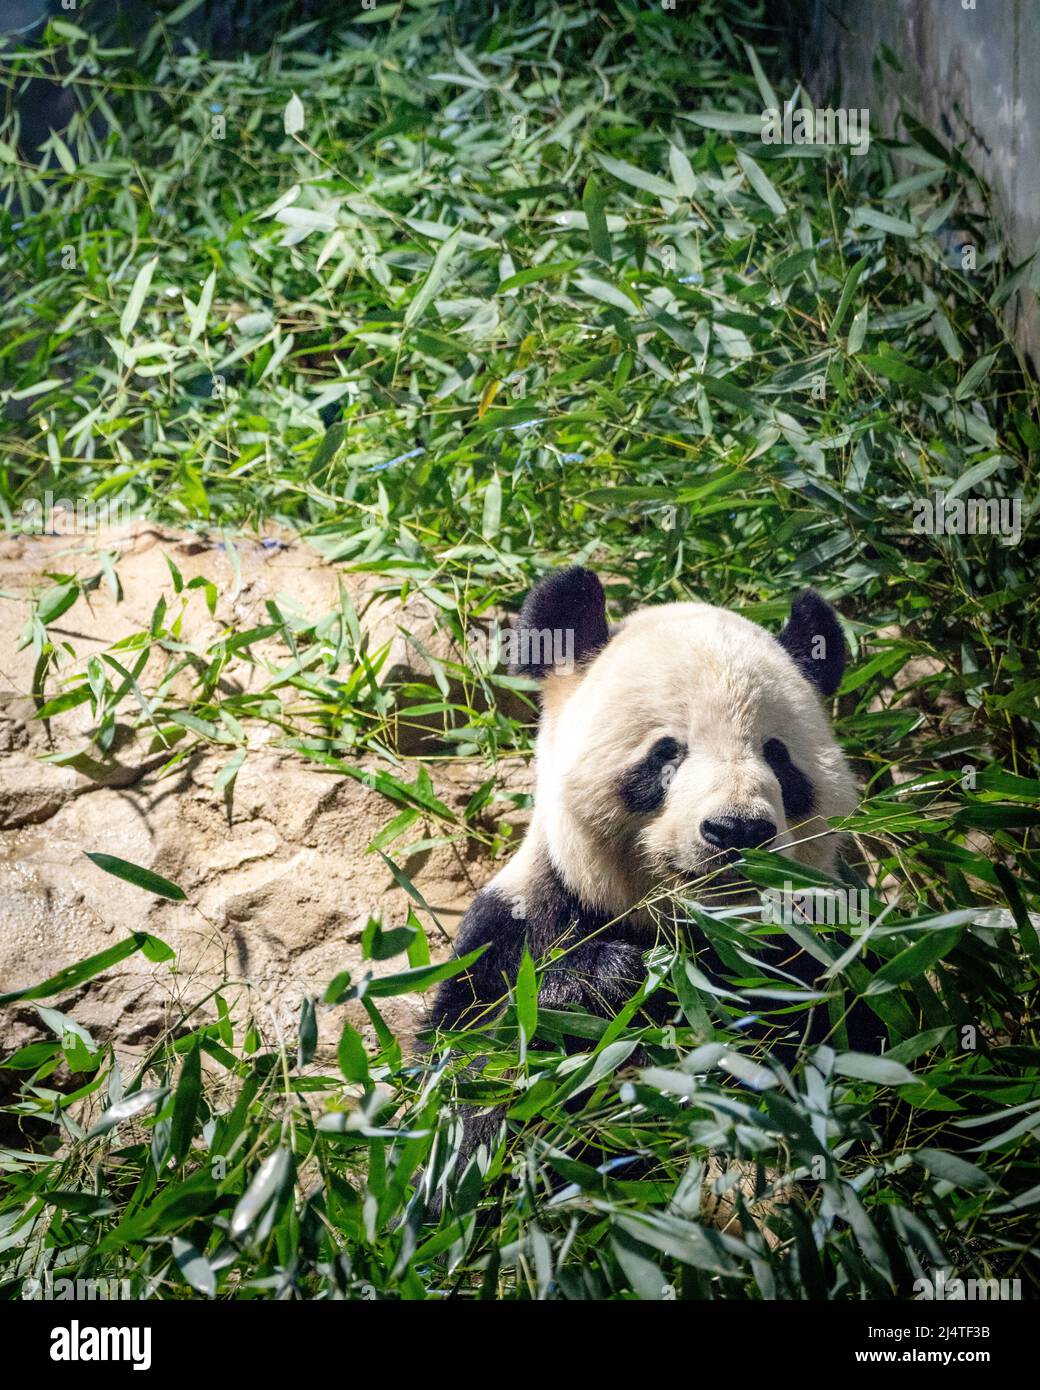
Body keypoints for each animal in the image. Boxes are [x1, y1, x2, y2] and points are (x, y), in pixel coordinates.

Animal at [430, 565, 882, 1061]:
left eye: (778, 757)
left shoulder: (828, 949)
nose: (738, 830)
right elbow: (471, 1047)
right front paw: (598, 981)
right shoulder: (518, 922)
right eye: (667, 753)